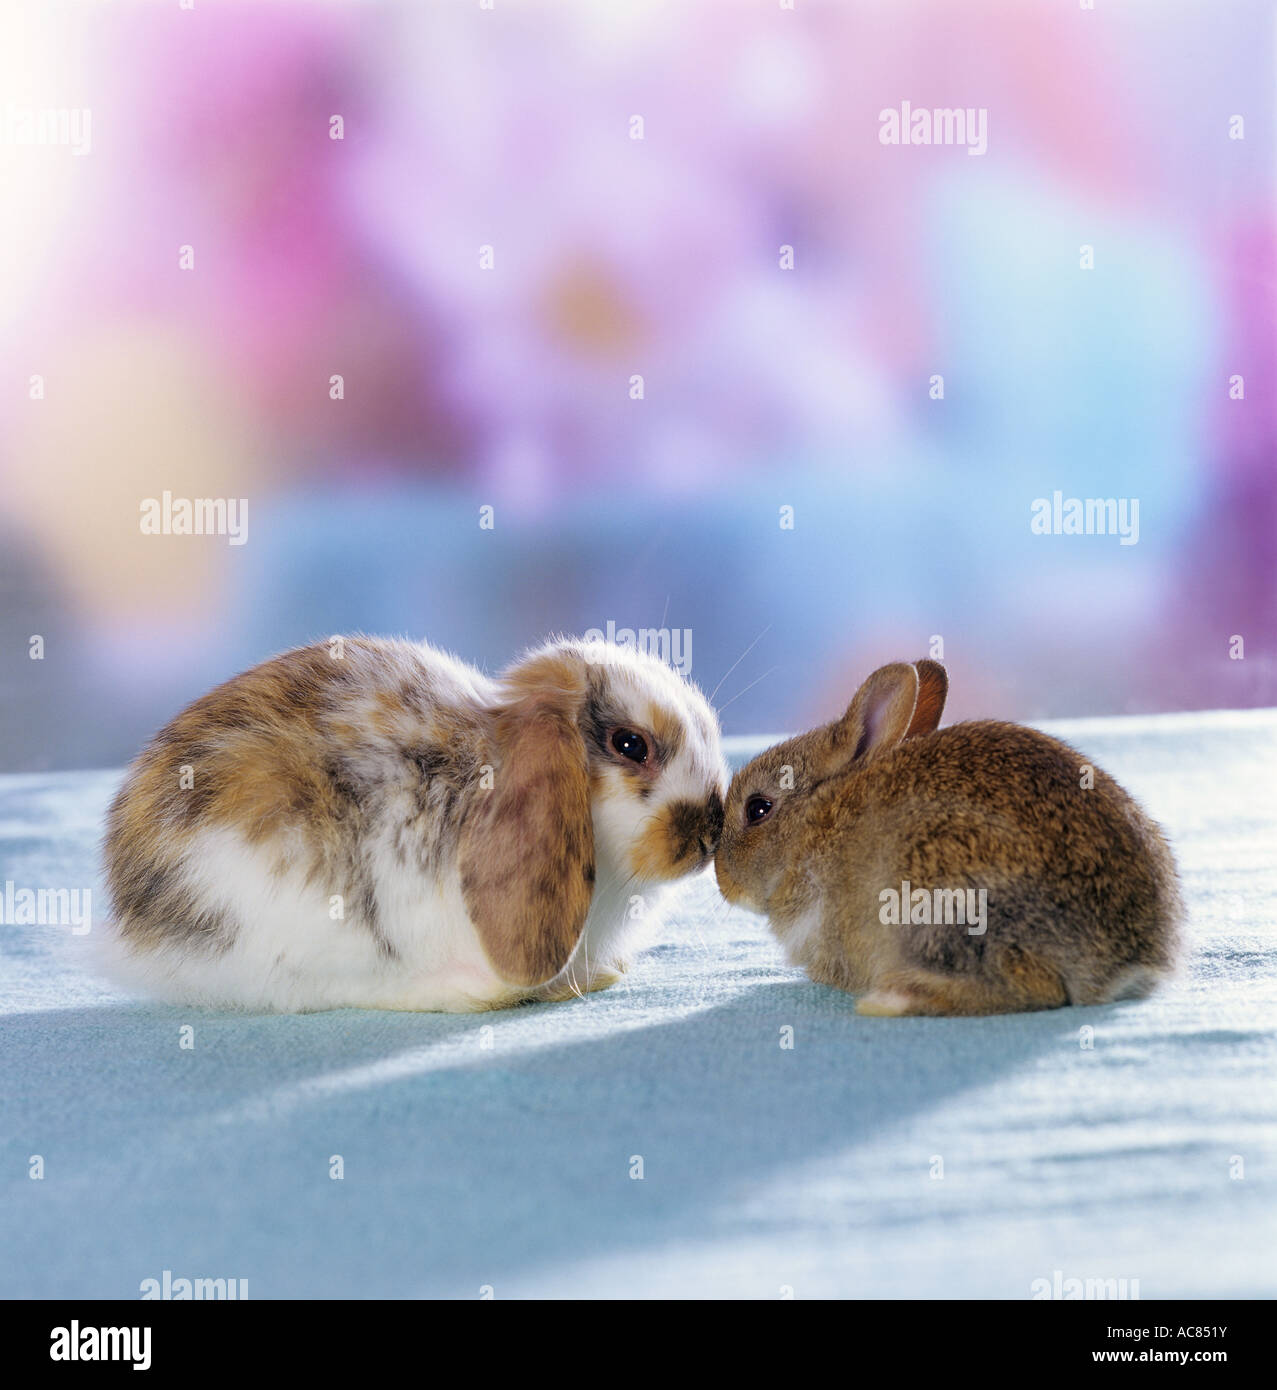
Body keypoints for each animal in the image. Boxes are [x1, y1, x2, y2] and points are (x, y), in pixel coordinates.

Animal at [715, 659, 1184, 1017]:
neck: (816, 820)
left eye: (758, 809)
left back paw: (891, 1000)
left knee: (1036, 988)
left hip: (943, 897)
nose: (723, 883)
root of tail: (1126, 962)